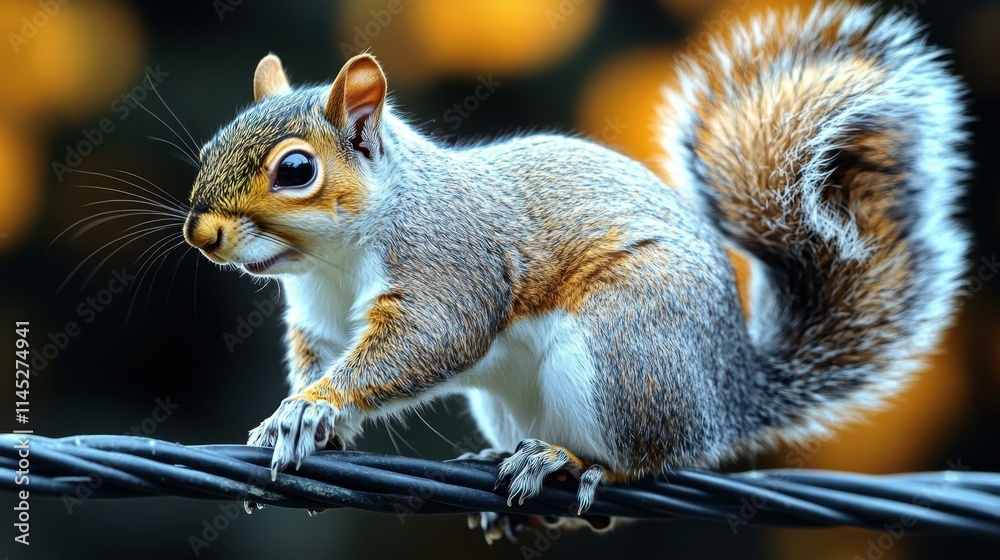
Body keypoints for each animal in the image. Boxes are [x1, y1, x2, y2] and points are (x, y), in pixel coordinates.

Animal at [183, 2, 968, 540]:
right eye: (210, 147)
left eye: (296, 170)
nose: (201, 234)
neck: (334, 258)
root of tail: (728, 394)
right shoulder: (318, 314)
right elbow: (323, 353)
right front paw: (300, 424)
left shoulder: (447, 262)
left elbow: (433, 338)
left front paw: (315, 407)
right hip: (519, 397)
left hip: (622, 353)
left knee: (646, 458)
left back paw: (567, 463)